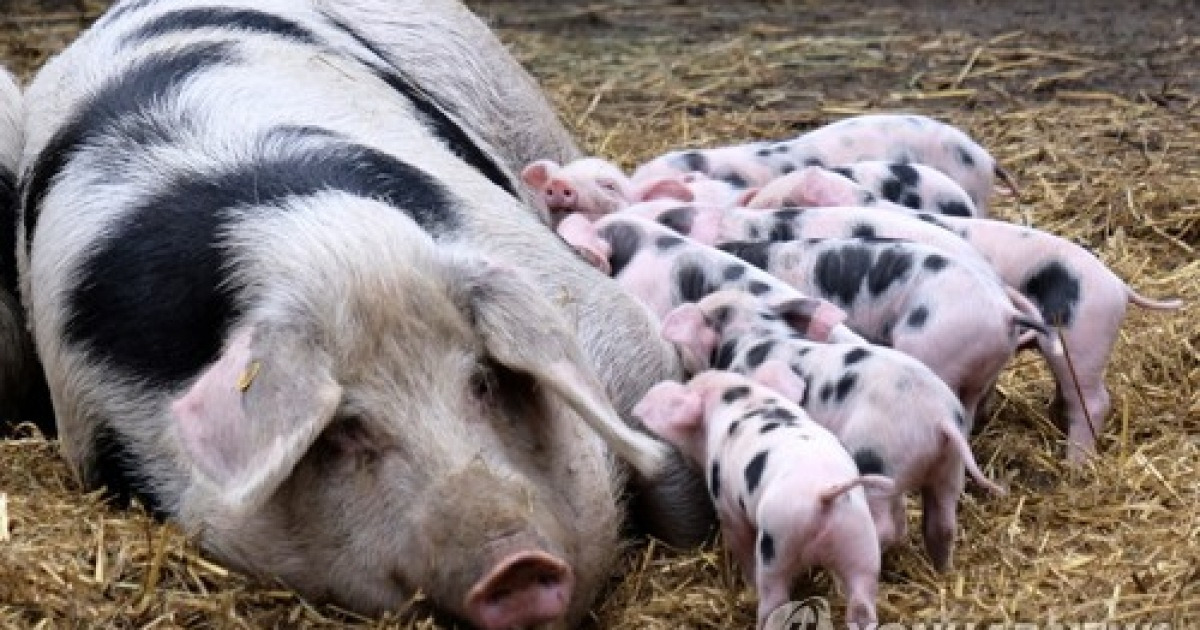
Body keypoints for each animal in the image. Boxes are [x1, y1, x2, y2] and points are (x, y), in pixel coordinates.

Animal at [16, 1, 706, 626]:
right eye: (346, 429)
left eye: (481, 381)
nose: (515, 564)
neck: (319, 241)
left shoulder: (588, 307)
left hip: (515, 104)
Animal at [634, 368, 890, 628]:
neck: (742, 398)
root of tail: (823, 494)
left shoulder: (728, 508)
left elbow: (740, 543)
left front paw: (748, 586)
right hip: (860, 541)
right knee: (862, 602)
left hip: (777, 547)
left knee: (775, 600)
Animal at [661, 290, 1006, 570]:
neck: (752, 332)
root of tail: (939, 417)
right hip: (948, 469)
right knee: (942, 524)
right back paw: (942, 572)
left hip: (878, 463)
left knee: (887, 527)